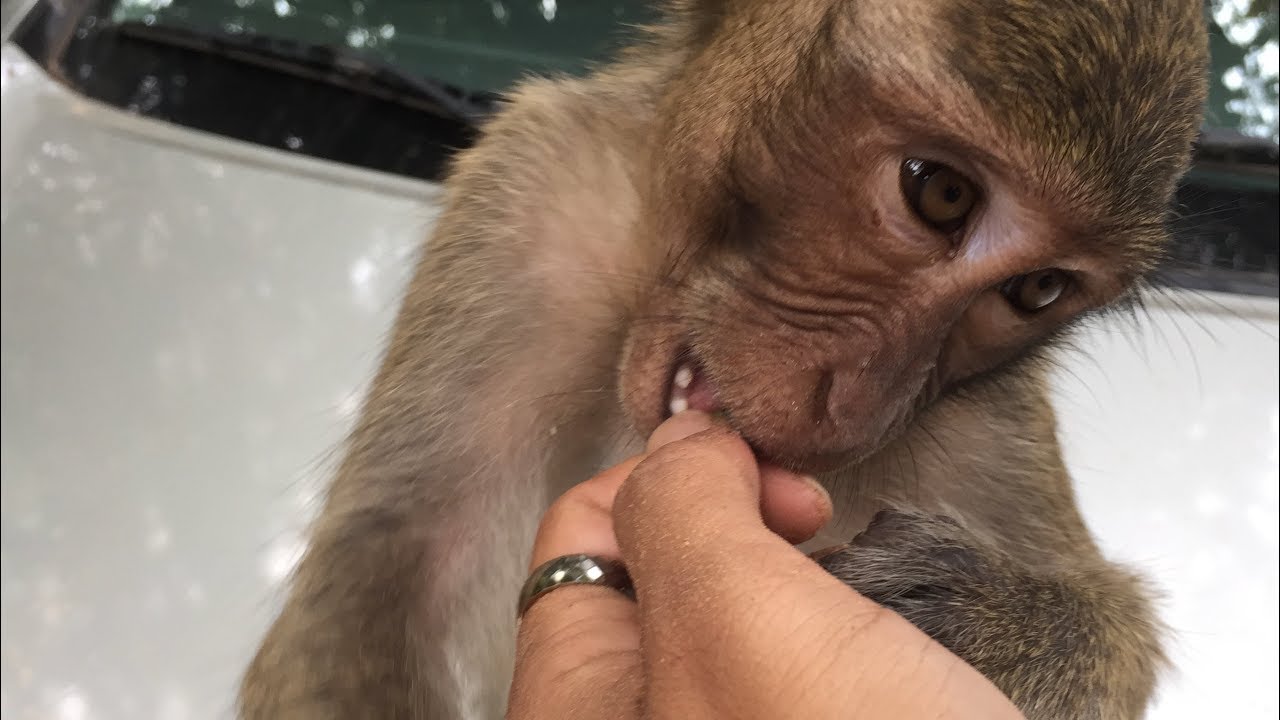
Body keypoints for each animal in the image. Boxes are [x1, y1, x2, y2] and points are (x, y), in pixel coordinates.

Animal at [238, 1, 1209, 718]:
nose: (853, 411)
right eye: (941, 194)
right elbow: (392, 572)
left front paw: (977, 621)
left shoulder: (986, 411)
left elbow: (1116, 627)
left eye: (1038, 290)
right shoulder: (530, 193)